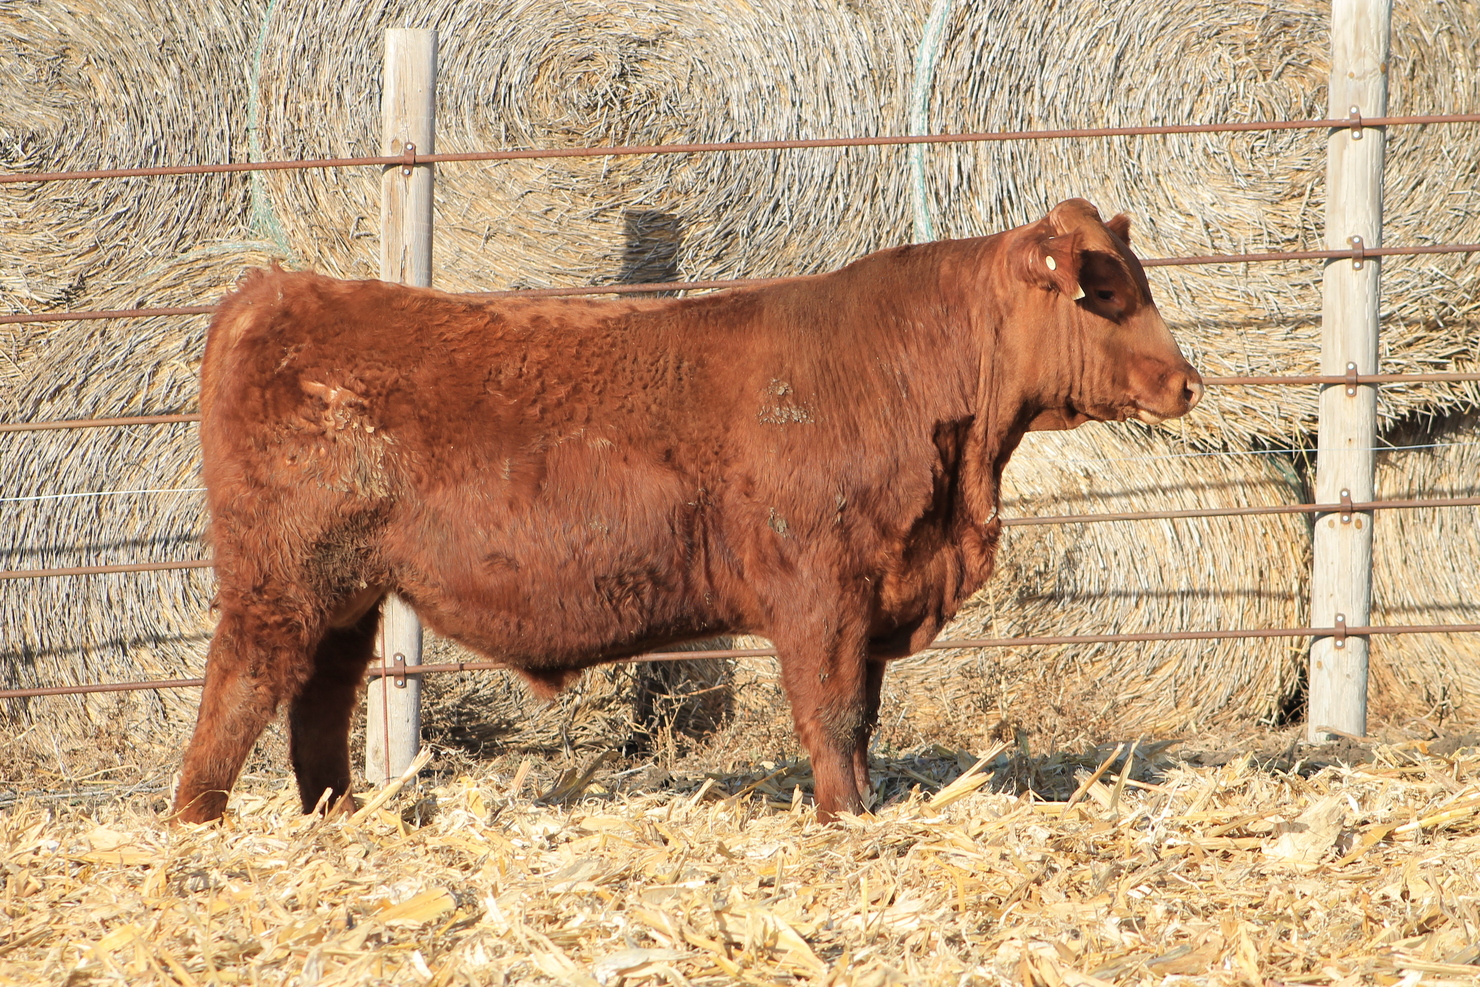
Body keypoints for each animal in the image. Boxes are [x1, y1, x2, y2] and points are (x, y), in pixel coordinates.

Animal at [172, 198, 1202, 825]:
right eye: (1107, 289)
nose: (1188, 381)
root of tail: (277, 289)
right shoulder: (820, 593)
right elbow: (831, 714)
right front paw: (844, 816)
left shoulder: (873, 596)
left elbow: (864, 717)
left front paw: (862, 805)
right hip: (280, 578)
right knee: (243, 681)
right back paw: (198, 821)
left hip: (346, 591)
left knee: (319, 695)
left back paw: (334, 815)